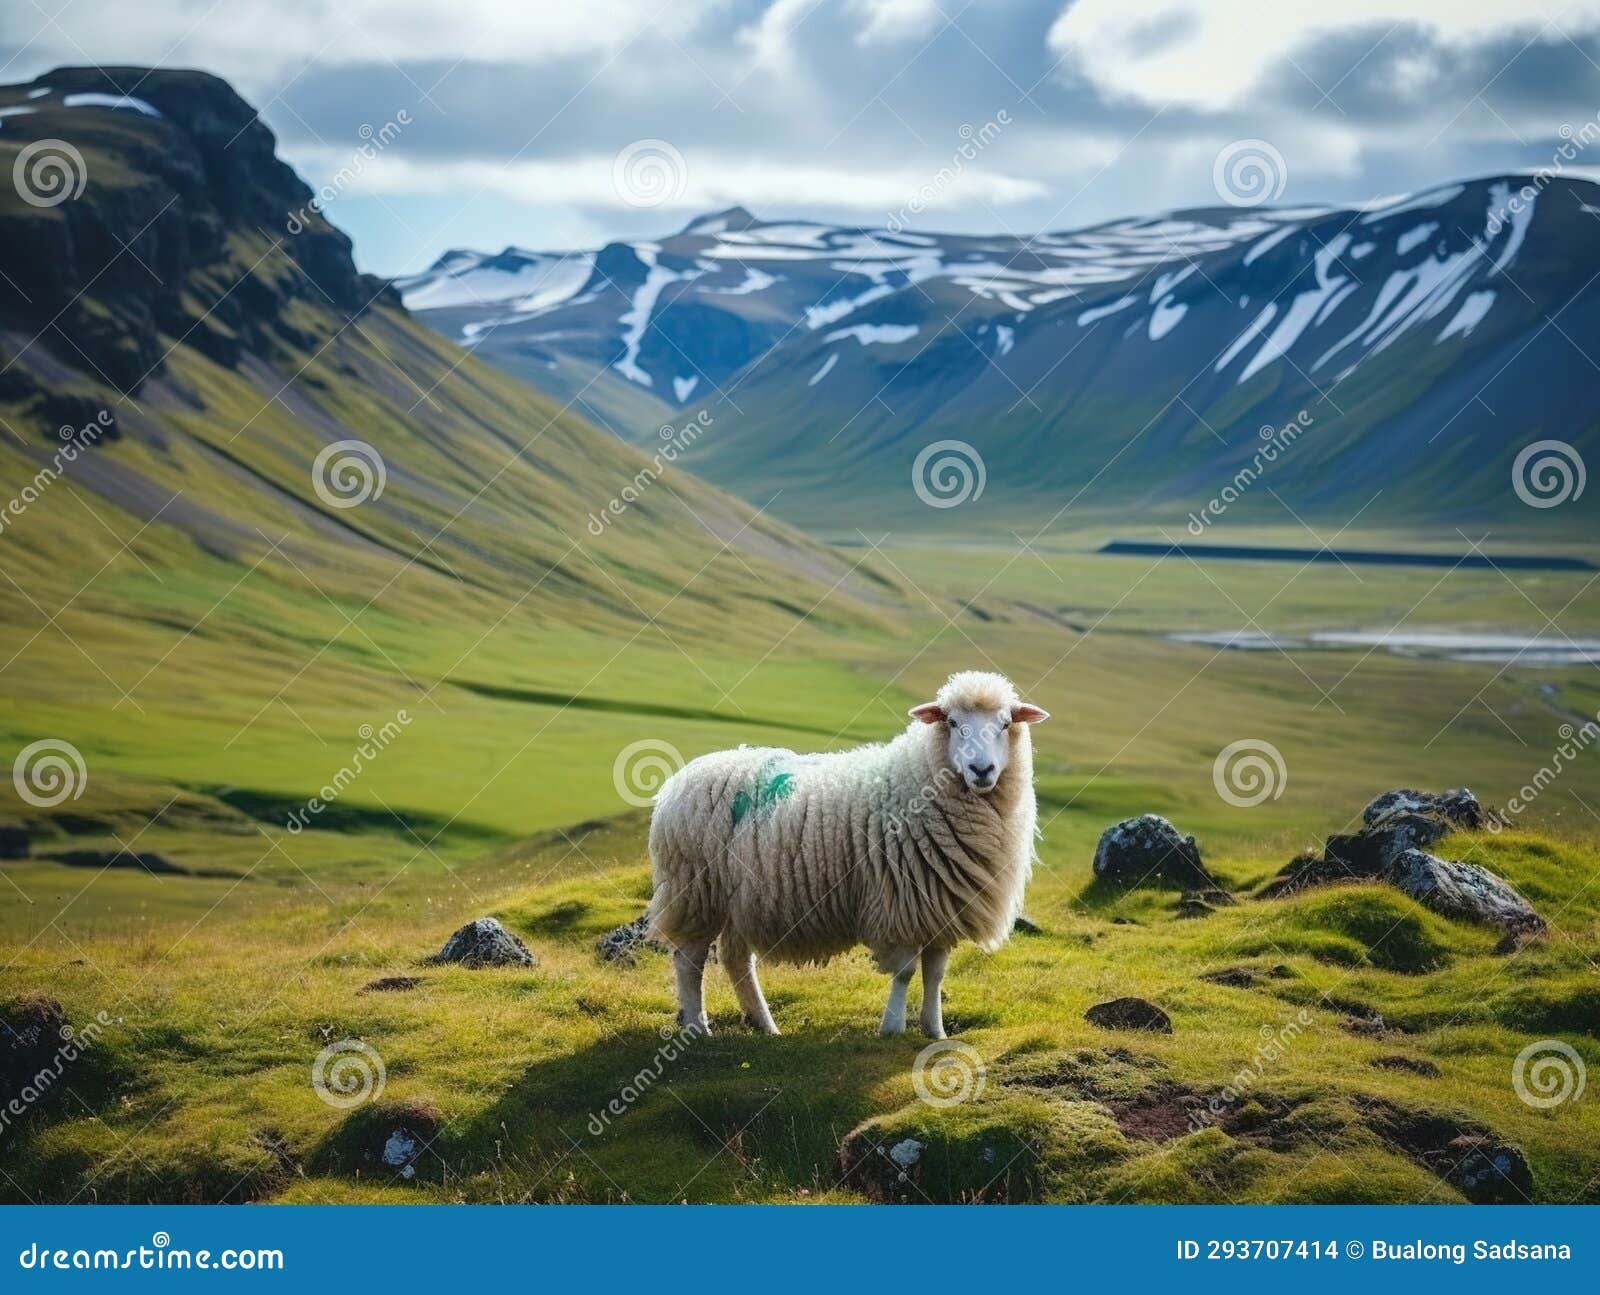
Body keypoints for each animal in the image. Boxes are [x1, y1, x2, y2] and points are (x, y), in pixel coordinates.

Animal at [647, 670, 1048, 1038]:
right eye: (952, 723)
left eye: (1005, 724)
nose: (982, 770)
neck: (917, 777)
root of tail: (677, 781)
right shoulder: (900, 901)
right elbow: (905, 972)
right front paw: (892, 1028)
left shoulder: (939, 905)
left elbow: (935, 974)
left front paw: (935, 1031)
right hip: (696, 889)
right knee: (689, 960)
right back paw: (697, 1026)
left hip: (740, 898)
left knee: (736, 960)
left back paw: (765, 1025)